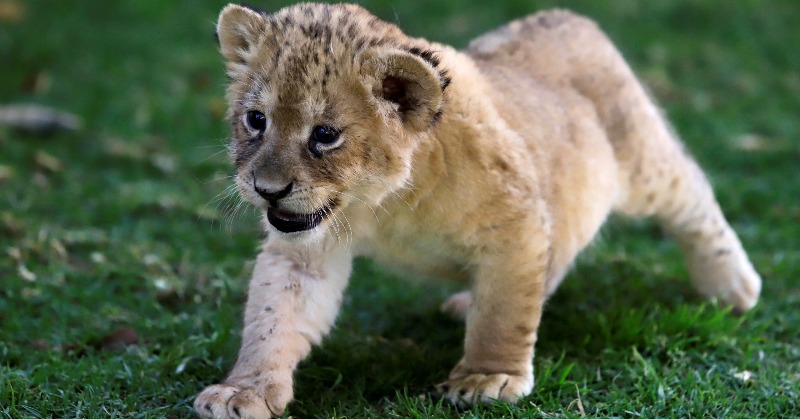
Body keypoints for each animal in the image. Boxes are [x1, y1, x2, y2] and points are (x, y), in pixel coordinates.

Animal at [194, 3, 762, 418]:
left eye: (325, 135)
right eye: (256, 120)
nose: (267, 190)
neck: (382, 201)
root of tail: (568, 17)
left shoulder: (517, 222)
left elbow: (505, 313)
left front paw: (489, 377)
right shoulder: (305, 247)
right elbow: (274, 318)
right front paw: (244, 391)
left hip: (643, 163)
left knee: (694, 195)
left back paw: (733, 285)